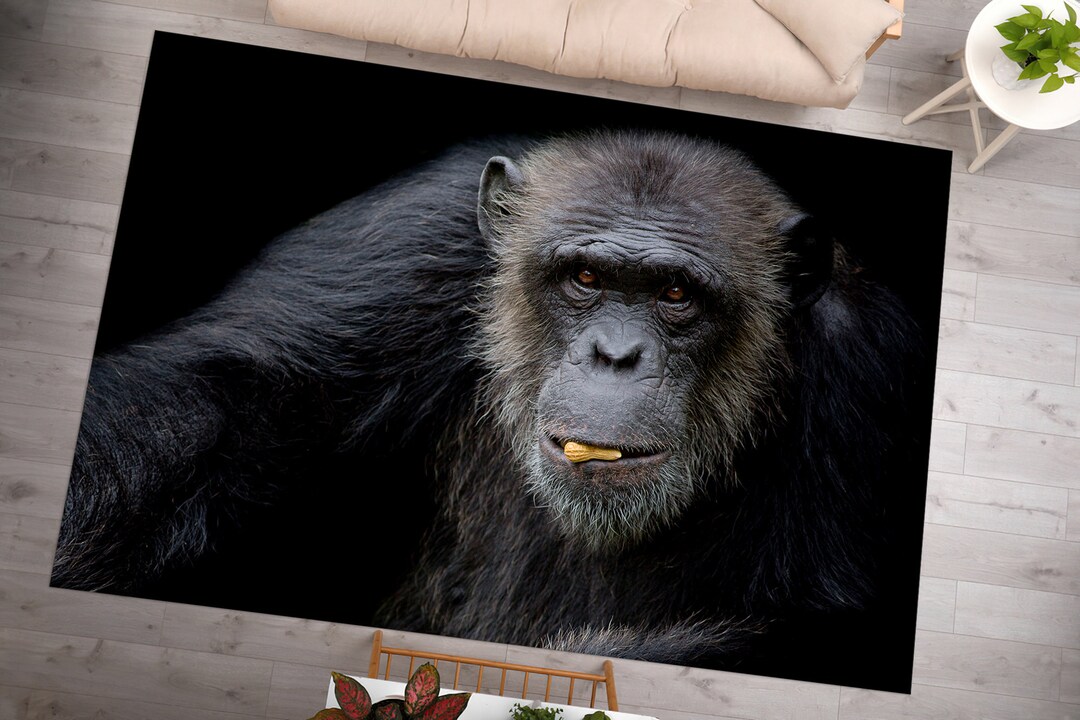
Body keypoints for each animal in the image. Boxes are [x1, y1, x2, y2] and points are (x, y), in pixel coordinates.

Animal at [52, 130, 924, 689]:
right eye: (584, 278)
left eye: (678, 294)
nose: (615, 353)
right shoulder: (413, 242)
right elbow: (215, 405)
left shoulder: (865, 378)